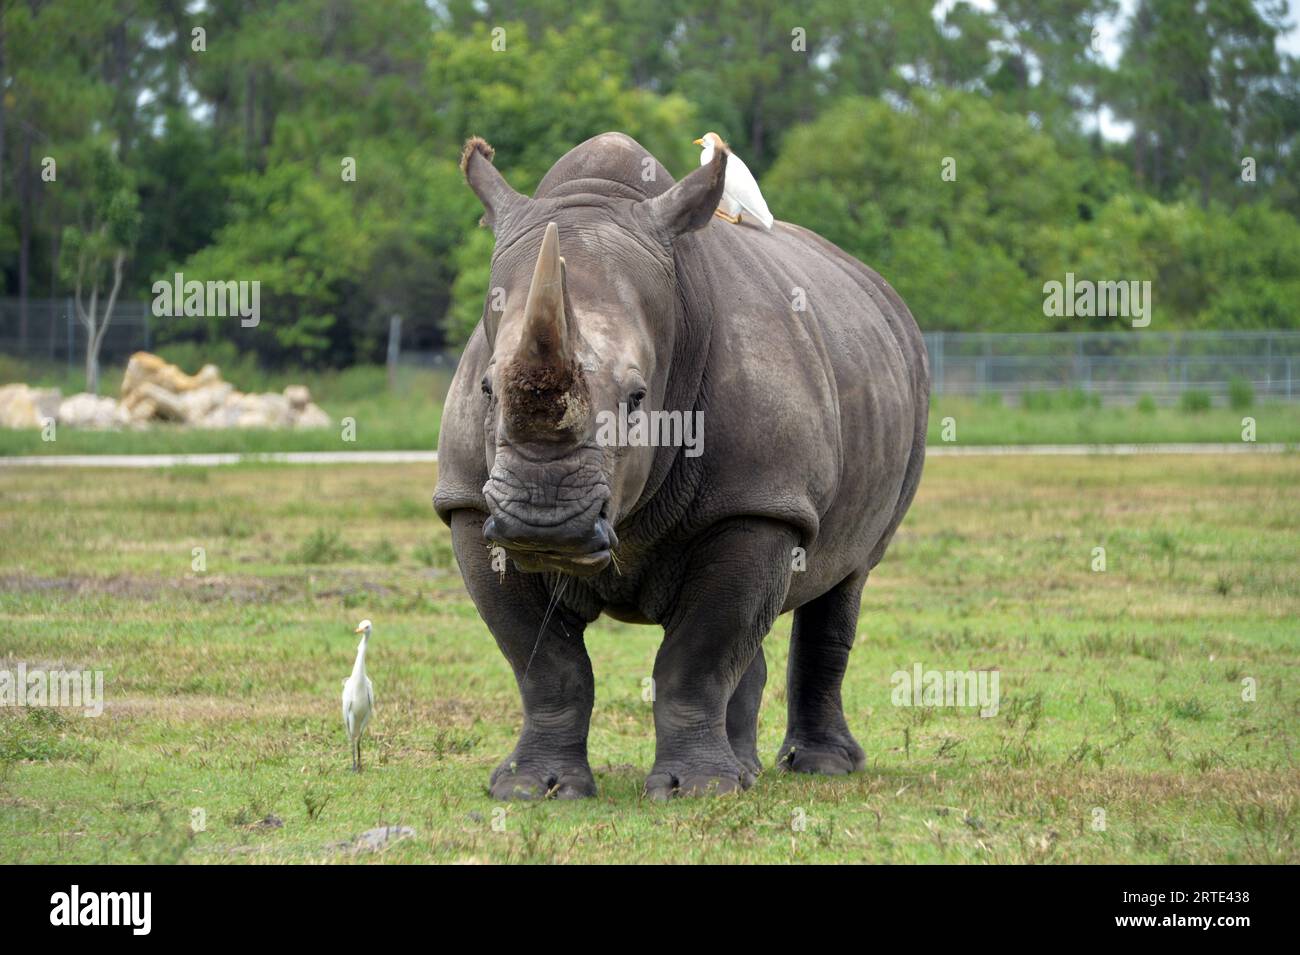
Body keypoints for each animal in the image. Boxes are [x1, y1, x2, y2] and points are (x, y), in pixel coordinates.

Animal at [434, 132, 928, 800]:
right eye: (487, 388)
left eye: (638, 398)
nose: (544, 521)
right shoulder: (467, 502)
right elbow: (545, 666)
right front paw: (534, 789)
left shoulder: (758, 501)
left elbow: (697, 656)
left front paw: (695, 791)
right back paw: (747, 771)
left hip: (905, 378)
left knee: (846, 577)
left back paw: (817, 768)